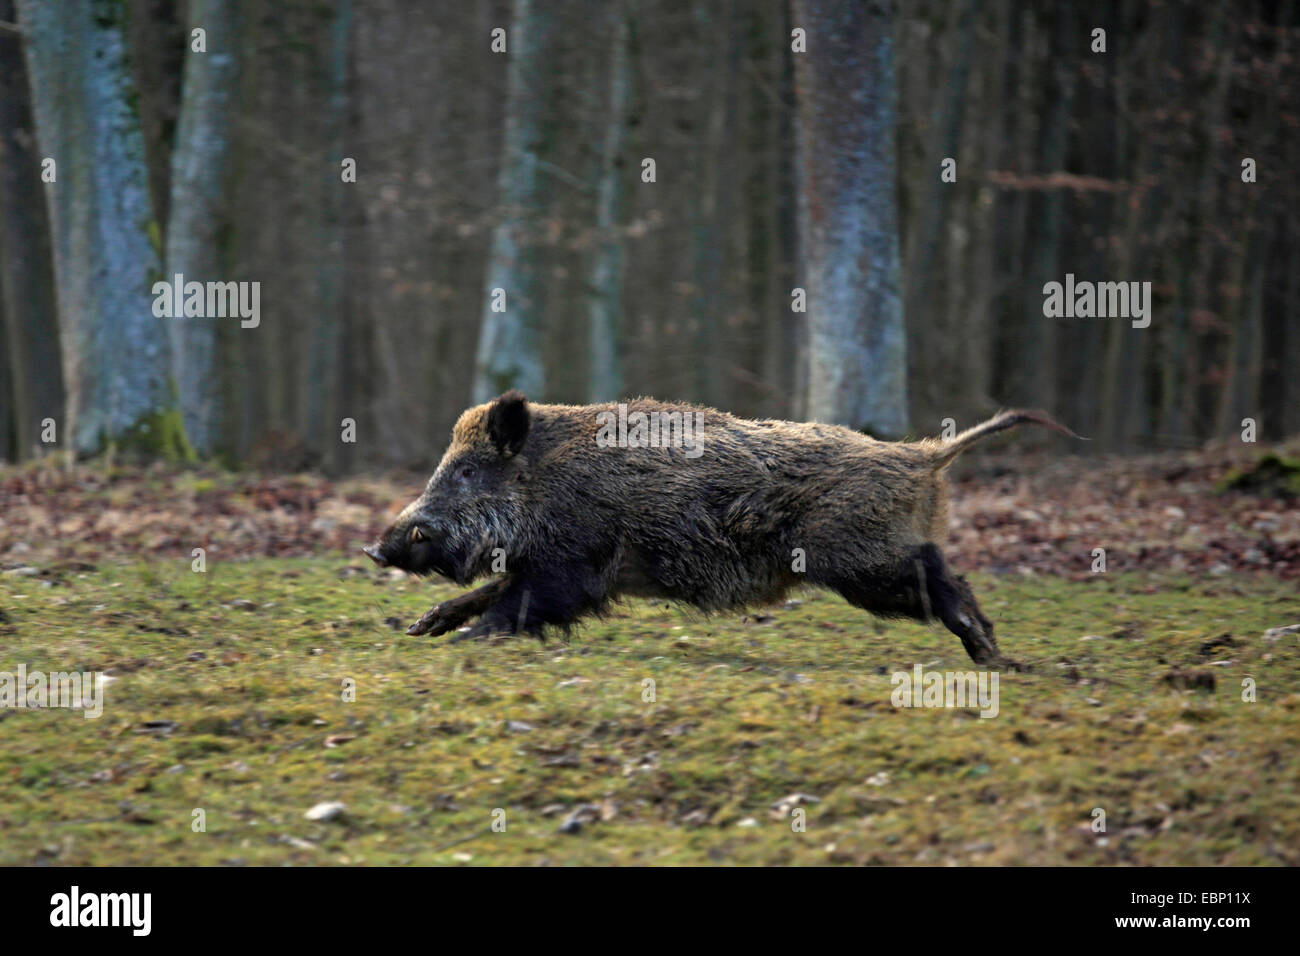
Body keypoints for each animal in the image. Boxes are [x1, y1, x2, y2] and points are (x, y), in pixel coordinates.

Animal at [363, 391, 1077, 663]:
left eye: (465, 472)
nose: (375, 547)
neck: (543, 484)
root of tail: (924, 455)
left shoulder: (576, 567)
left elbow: (518, 604)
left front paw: (467, 642)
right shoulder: (554, 565)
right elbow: (492, 590)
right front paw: (423, 628)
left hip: (860, 559)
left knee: (938, 572)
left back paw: (987, 650)